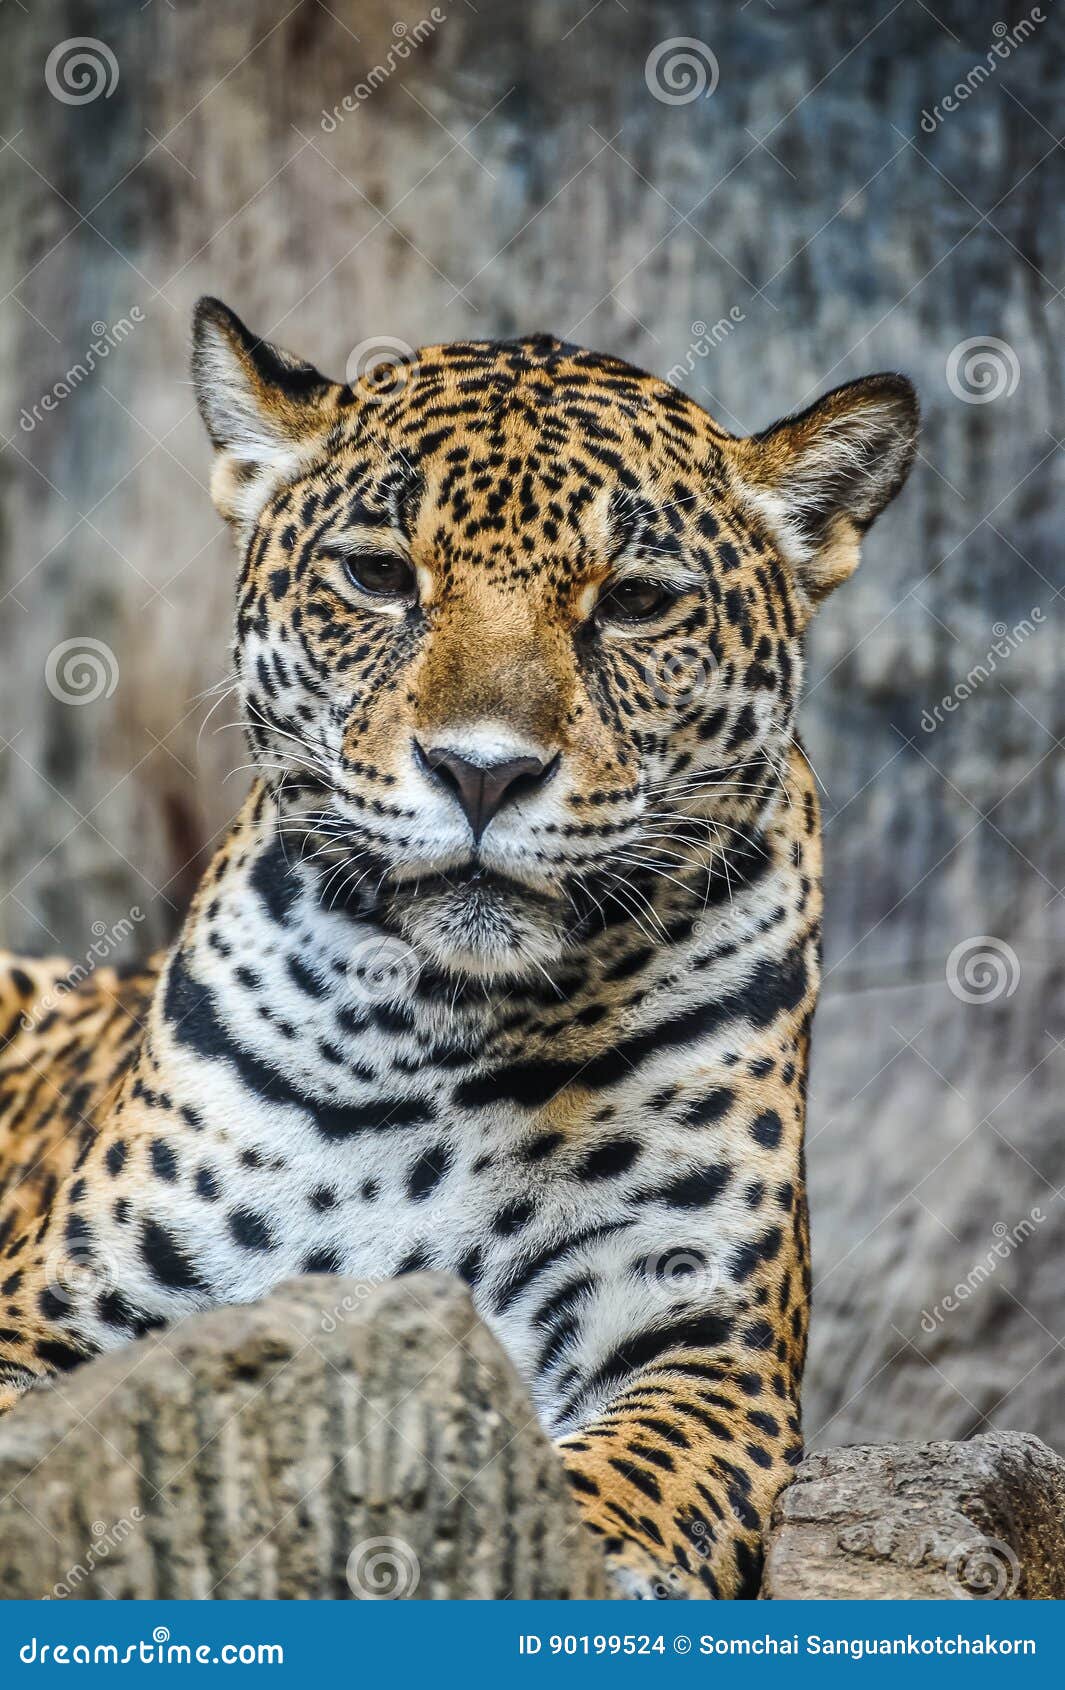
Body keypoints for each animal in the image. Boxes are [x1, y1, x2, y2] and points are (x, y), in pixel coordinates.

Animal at [0, 298, 917, 1598]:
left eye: (636, 602)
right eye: (380, 575)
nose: (483, 771)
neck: (435, 1018)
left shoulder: (706, 1346)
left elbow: (623, 1474)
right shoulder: (66, 1298)